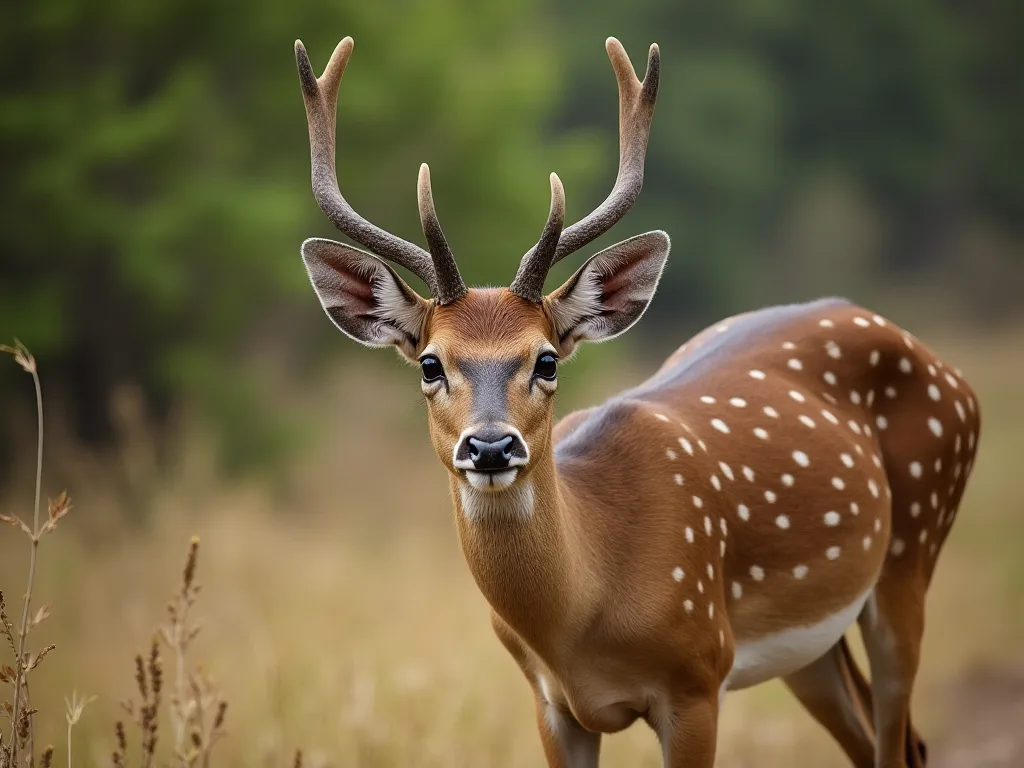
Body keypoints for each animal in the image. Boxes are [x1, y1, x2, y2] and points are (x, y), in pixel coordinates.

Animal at [292, 34, 981, 768]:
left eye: (546, 359)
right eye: (430, 363)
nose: (491, 445)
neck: (581, 614)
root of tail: (945, 368)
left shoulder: (697, 675)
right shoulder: (551, 705)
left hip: (913, 547)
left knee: (899, 736)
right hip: (813, 644)